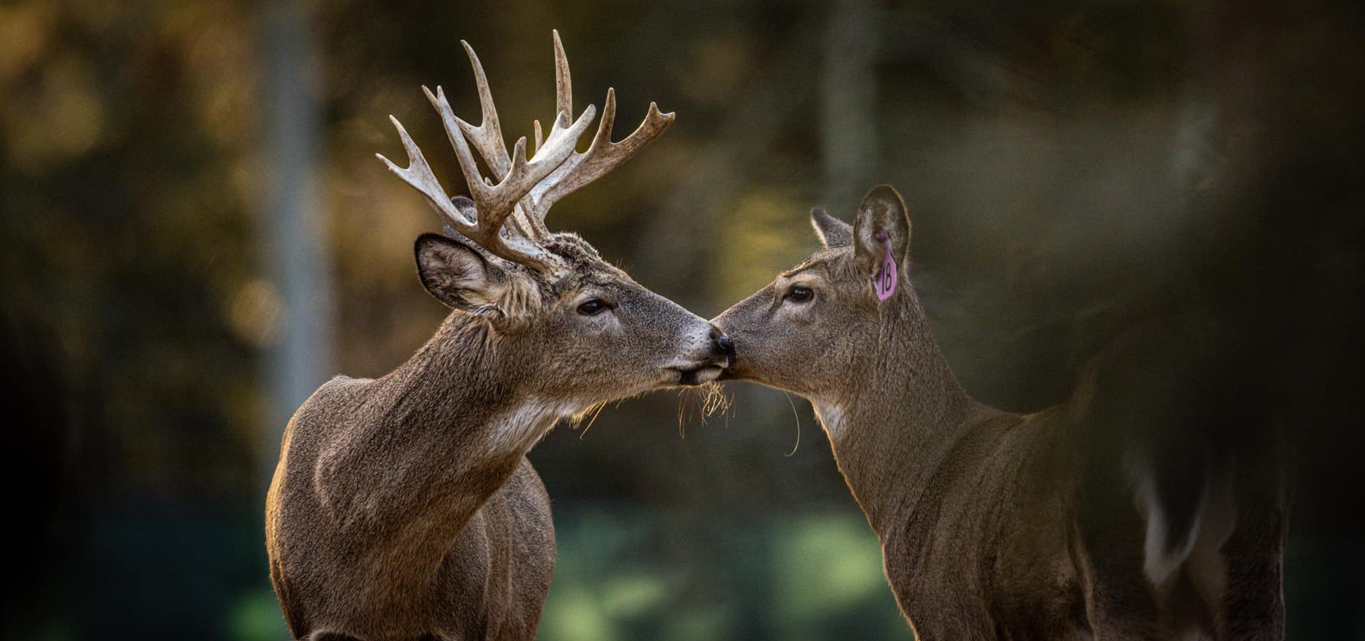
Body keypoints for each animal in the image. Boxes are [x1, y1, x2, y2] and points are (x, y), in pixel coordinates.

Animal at [712, 184, 1288, 640]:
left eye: (799, 291)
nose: (715, 335)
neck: (918, 474)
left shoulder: (946, 612)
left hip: (1118, 569)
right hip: (1253, 577)